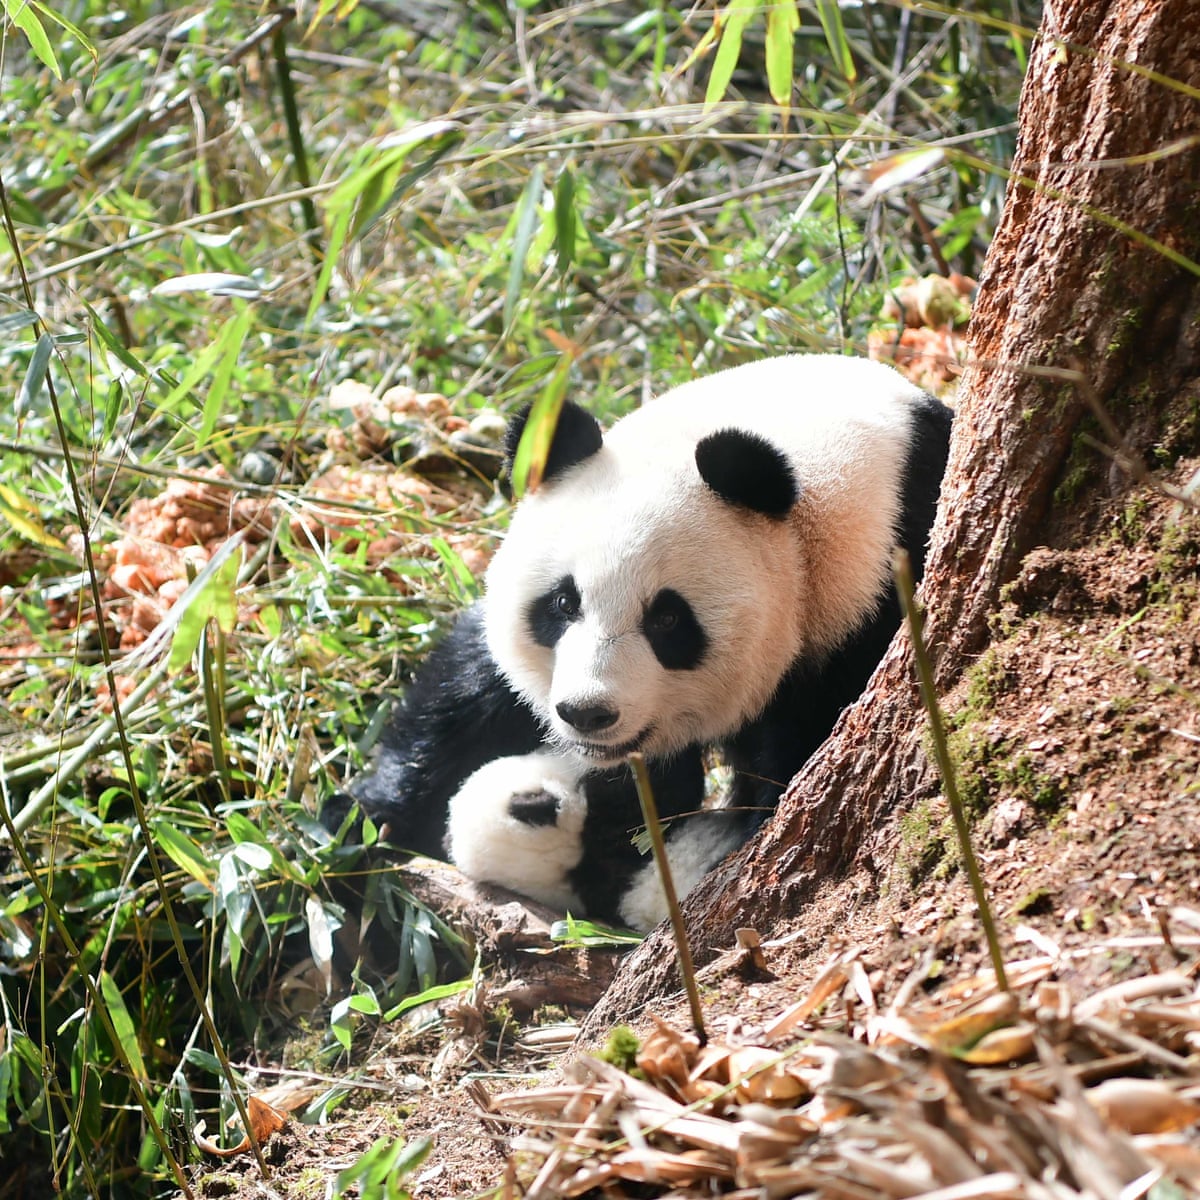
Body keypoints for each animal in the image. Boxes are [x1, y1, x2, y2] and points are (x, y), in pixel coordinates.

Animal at [343, 354, 952, 931]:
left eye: (668, 620)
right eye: (562, 603)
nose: (587, 713)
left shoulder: (869, 601)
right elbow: (467, 693)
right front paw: (360, 824)